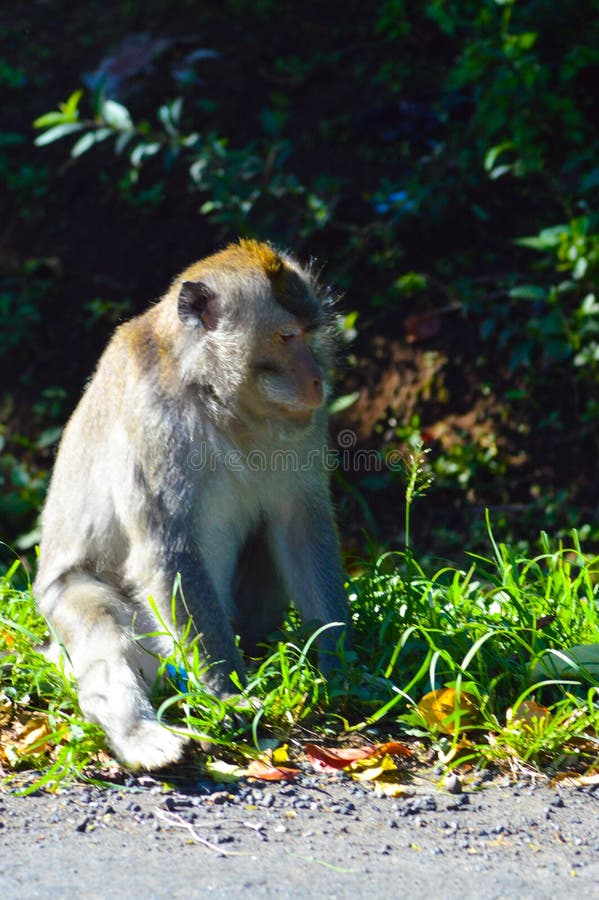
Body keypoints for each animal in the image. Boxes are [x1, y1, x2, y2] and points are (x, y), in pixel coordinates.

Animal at [34, 239, 350, 770]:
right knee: (104, 630)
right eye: (286, 337)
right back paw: (142, 735)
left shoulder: (307, 424)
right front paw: (228, 693)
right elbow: (172, 550)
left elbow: (299, 523)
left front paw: (343, 665)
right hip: (62, 602)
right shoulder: (156, 420)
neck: (215, 398)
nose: (317, 381)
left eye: (310, 335)